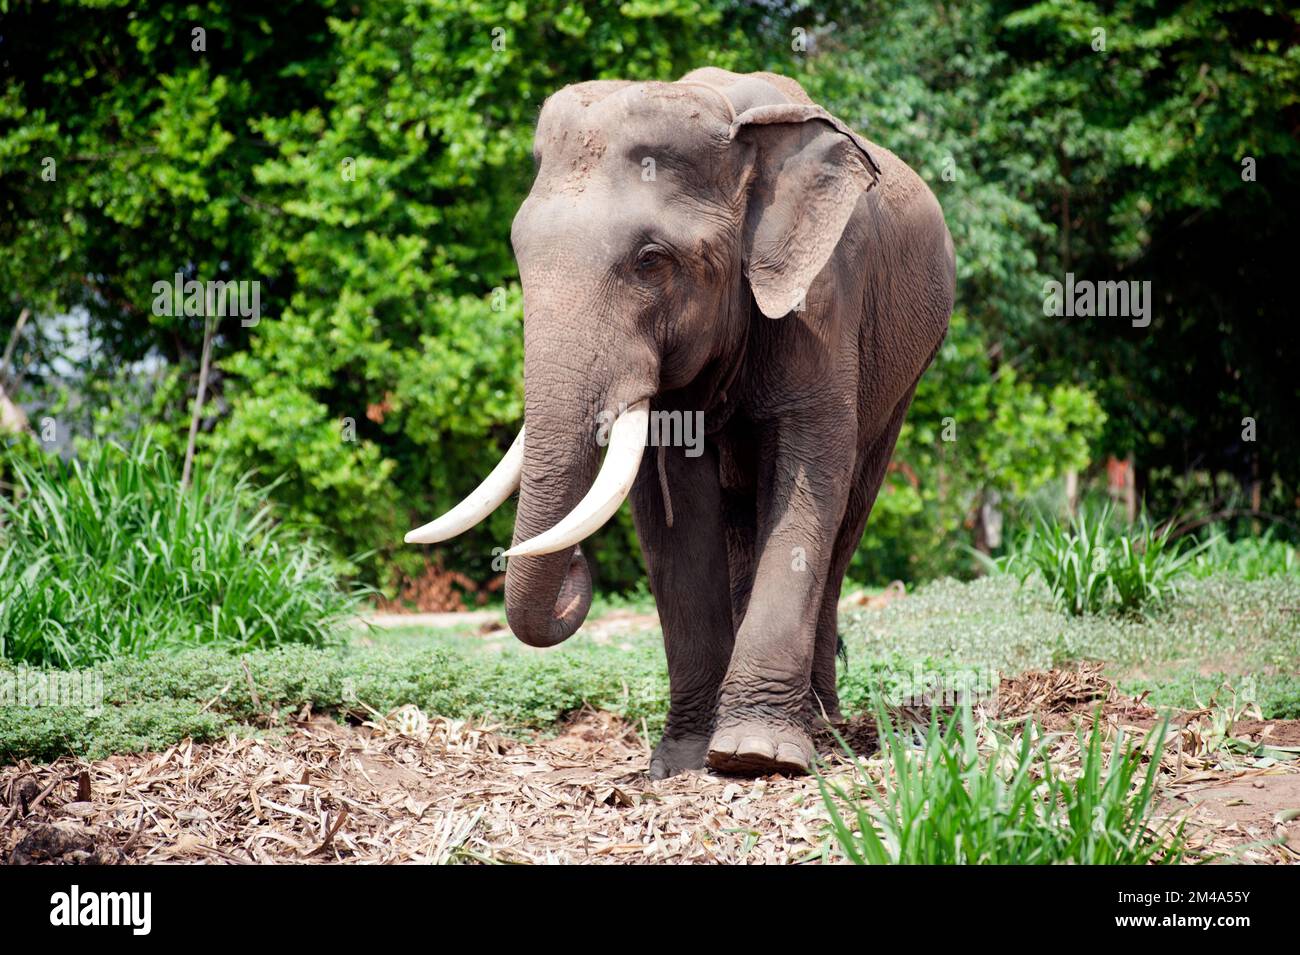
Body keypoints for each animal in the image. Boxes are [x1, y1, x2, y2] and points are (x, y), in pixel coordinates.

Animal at [406, 68, 955, 779]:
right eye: (519, 252)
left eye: (650, 260)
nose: (575, 564)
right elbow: (672, 515)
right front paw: (686, 760)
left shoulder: (825, 297)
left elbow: (812, 470)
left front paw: (755, 757)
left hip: (908, 371)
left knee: (848, 517)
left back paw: (822, 725)